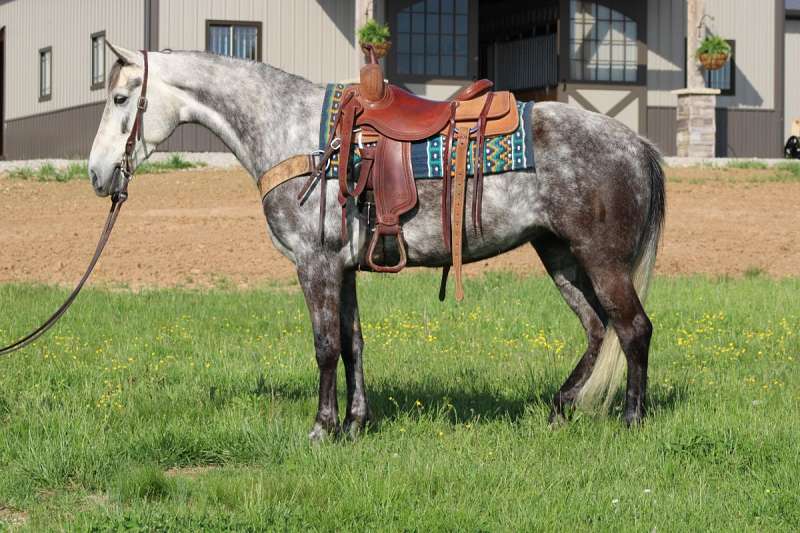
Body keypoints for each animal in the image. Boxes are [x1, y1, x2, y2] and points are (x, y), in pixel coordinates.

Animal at [89, 44, 665, 441]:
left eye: (120, 98)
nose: (97, 175)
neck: (295, 133)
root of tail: (638, 144)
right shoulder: (343, 269)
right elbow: (353, 344)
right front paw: (355, 423)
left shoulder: (315, 264)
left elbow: (325, 346)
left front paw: (322, 428)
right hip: (560, 256)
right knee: (597, 329)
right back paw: (559, 407)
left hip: (602, 261)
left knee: (633, 328)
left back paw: (632, 418)